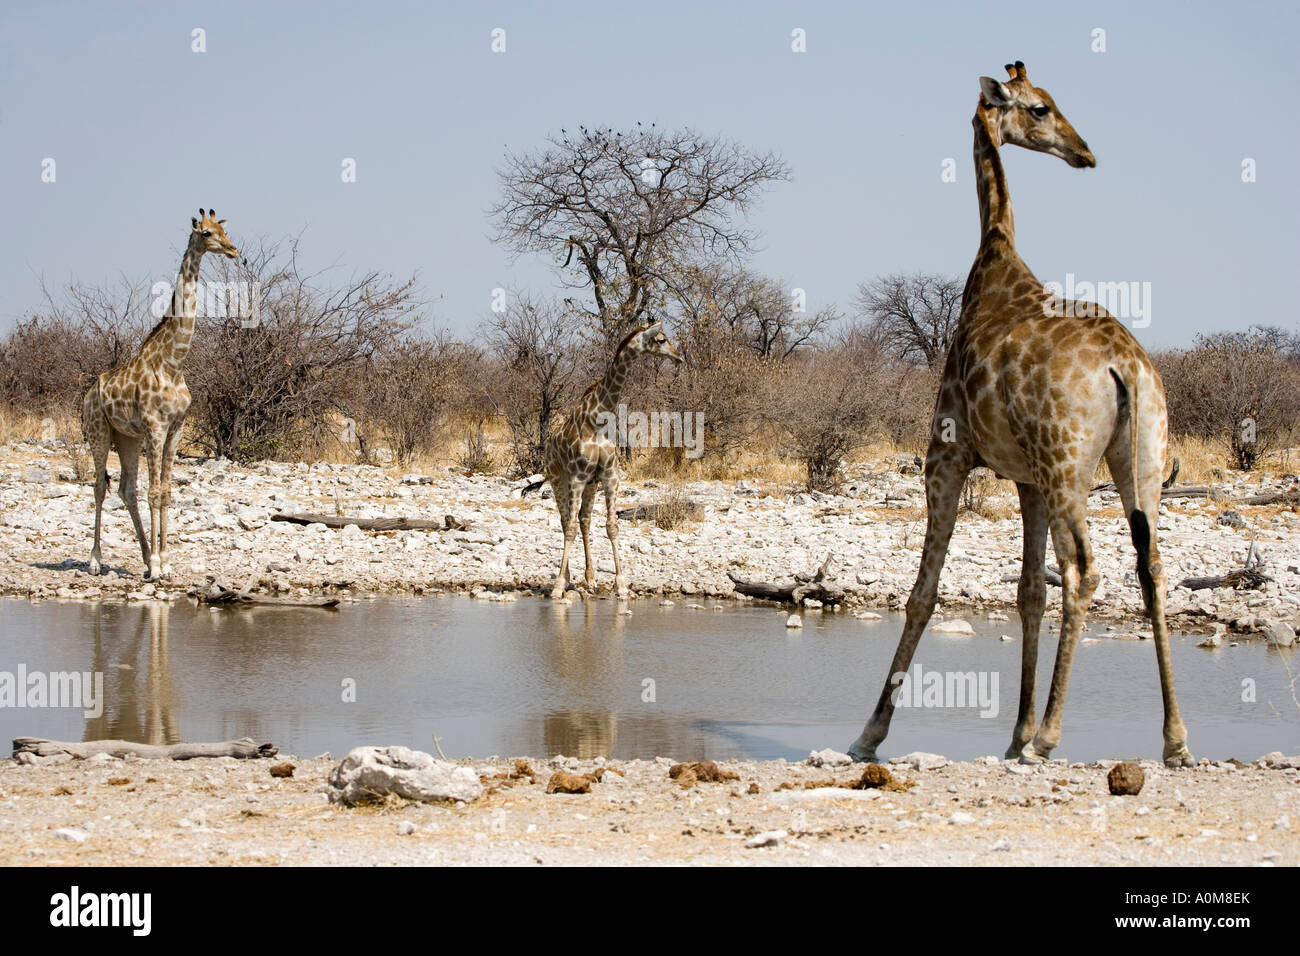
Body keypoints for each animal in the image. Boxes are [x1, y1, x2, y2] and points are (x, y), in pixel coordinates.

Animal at [81, 208, 240, 580]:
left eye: (225, 229)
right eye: (207, 234)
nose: (233, 250)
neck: (173, 361)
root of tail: (88, 393)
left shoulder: (176, 429)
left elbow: (165, 492)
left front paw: (163, 561)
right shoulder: (155, 426)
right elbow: (155, 493)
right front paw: (156, 564)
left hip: (126, 437)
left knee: (126, 488)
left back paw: (142, 555)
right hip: (98, 430)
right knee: (99, 485)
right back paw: (96, 560)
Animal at [543, 322, 682, 600]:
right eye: (661, 340)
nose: (679, 357)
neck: (597, 419)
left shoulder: (608, 475)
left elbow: (611, 526)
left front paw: (621, 584)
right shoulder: (576, 476)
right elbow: (570, 527)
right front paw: (558, 586)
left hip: (590, 484)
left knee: (583, 520)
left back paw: (590, 579)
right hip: (558, 478)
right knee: (566, 521)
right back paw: (567, 579)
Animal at [848, 62, 1193, 768]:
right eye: (1041, 107)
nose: (1084, 153)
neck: (994, 260)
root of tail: (1126, 368)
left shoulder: (946, 454)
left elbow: (923, 591)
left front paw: (870, 732)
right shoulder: (1027, 480)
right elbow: (1029, 591)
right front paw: (1013, 735)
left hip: (1069, 465)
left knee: (1084, 570)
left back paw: (1053, 736)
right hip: (1139, 458)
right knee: (1151, 568)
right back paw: (1173, 738)